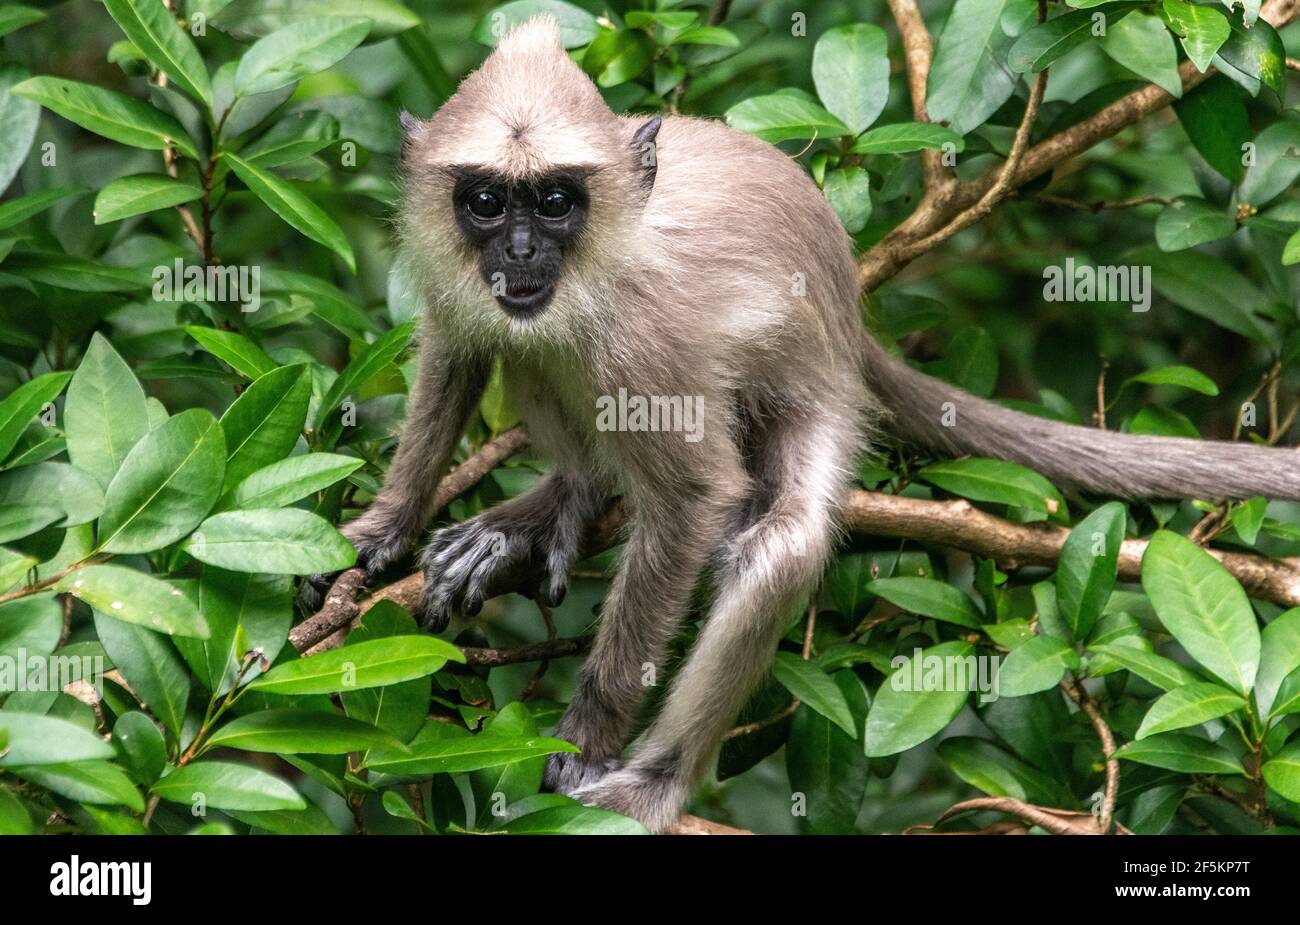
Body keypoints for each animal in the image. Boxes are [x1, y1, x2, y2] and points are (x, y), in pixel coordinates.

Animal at [309, 16, 1300, 832]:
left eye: (554, 201)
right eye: (487, 201)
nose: (518, 253)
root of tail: (850, 314)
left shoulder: (640, 344)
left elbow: (698, 498)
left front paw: (590, 733)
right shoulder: (468, 285)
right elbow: (455, 351)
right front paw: (382, 532)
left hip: (813, 396)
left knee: (778, 542)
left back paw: (657, 779)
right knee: (535, 356)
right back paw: (563, 496)